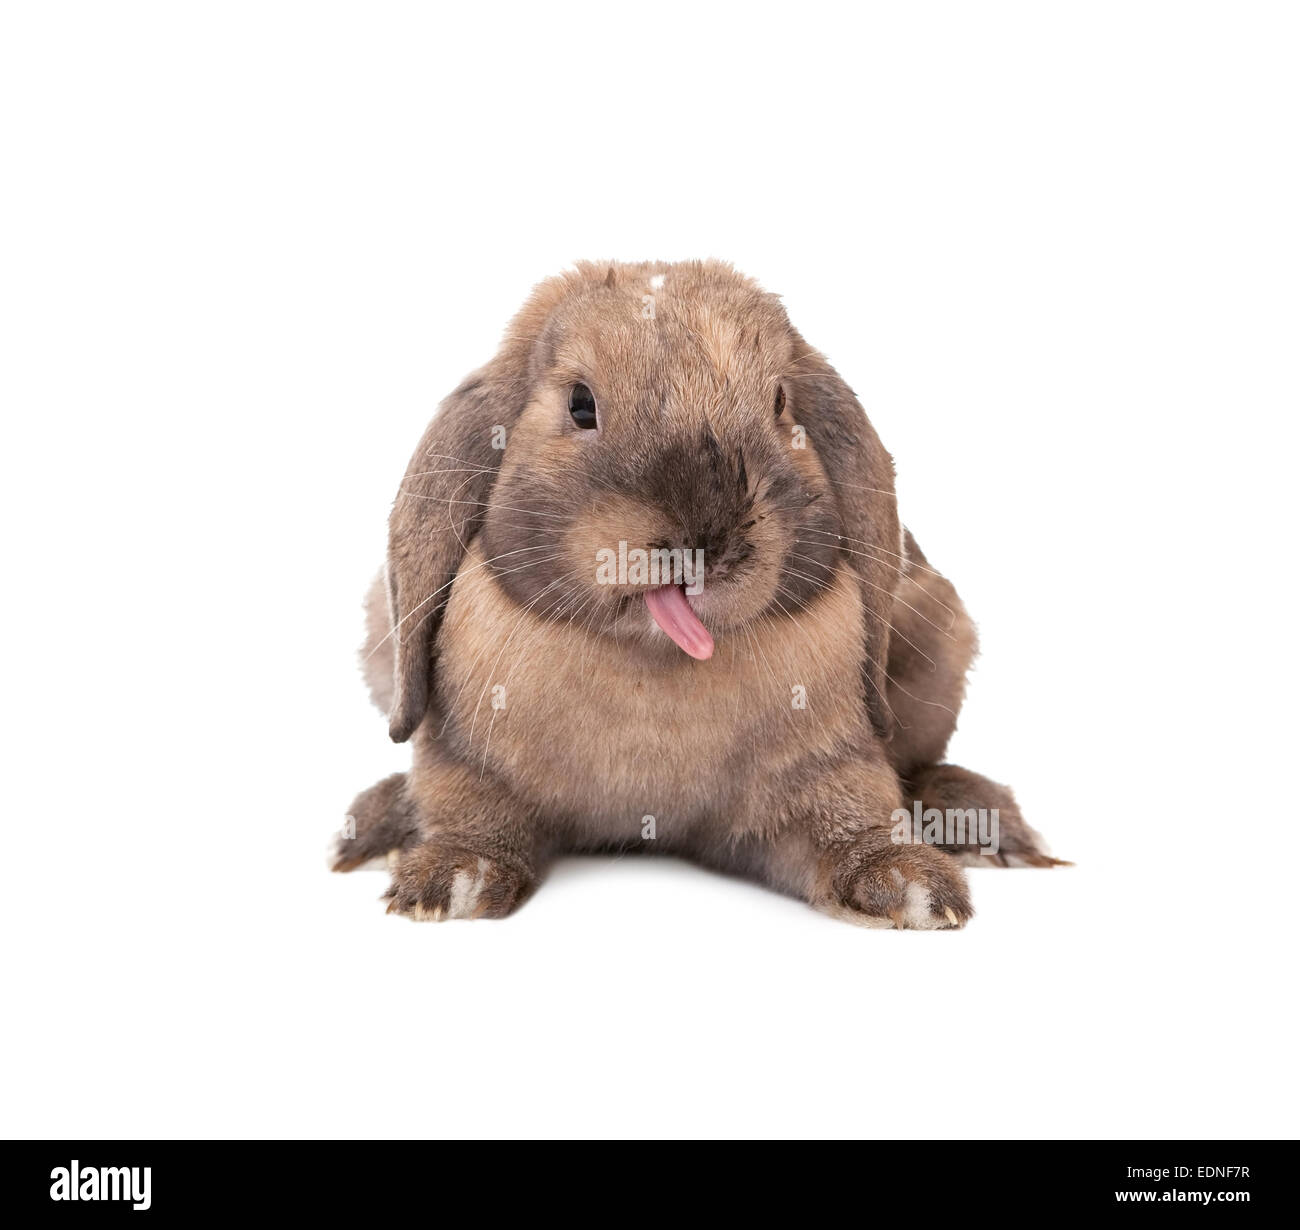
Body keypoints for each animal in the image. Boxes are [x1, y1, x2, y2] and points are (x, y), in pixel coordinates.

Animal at [335, 260, 1062, 927]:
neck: (653, 662)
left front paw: (910, 883)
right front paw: (447, 878)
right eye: (580, 404)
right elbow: (471, 812)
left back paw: (985, 826)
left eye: (780, 402)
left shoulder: (827, 768)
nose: (703, 544)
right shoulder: (464, 758)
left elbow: (851, 818)